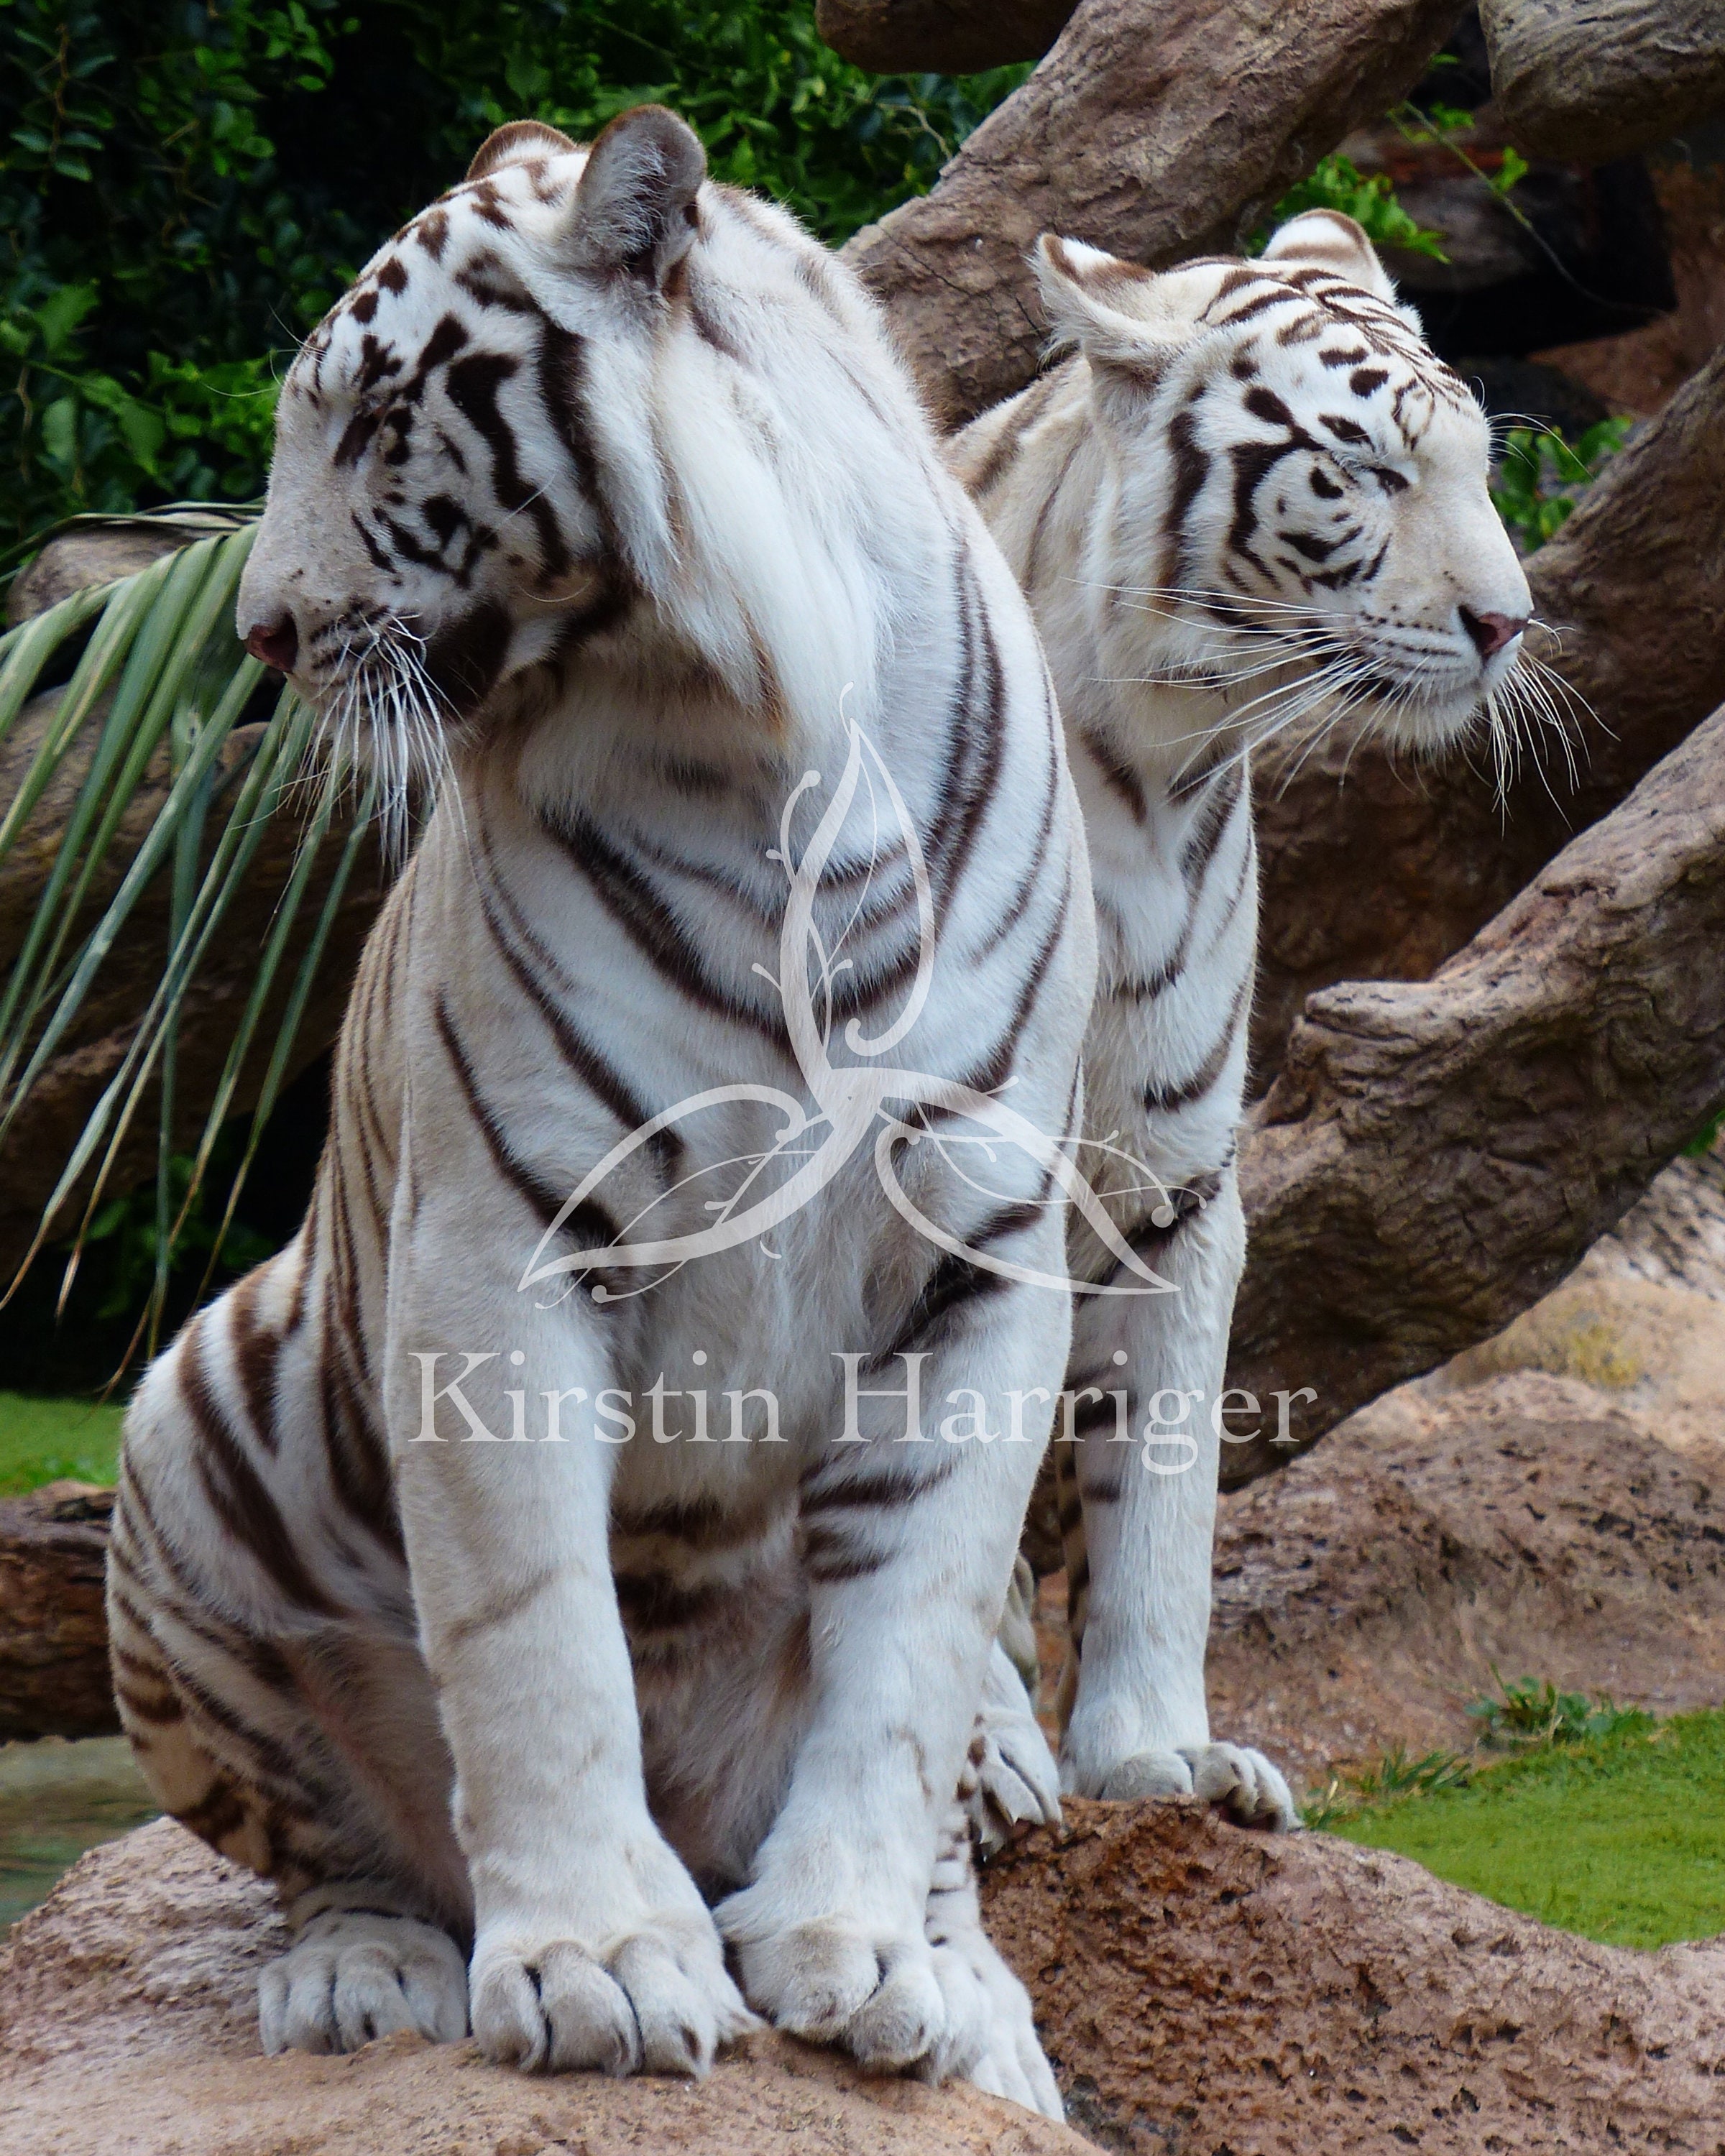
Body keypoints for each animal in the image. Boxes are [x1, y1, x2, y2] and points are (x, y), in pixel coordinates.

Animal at [105, 106, 1098, 2118]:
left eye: (371, 418)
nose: (257, 632)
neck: (760, 734)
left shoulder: (978, 1250)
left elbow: (911, 1642)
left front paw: (865, 1952)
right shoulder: (501, 1244)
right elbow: (536, 1632)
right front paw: (598, 1966)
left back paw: (969, 1997)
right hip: (191, 1428)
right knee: (330, 1838)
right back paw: (370, 1969)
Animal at [950, 210, 1534, 1821]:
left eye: (1479, 466)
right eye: (1369, 470)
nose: (1510, 624)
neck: (1146, 776)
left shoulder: (1180, 1182)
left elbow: (1160, 1497)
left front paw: (1157, 1757)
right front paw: (984, 1759)